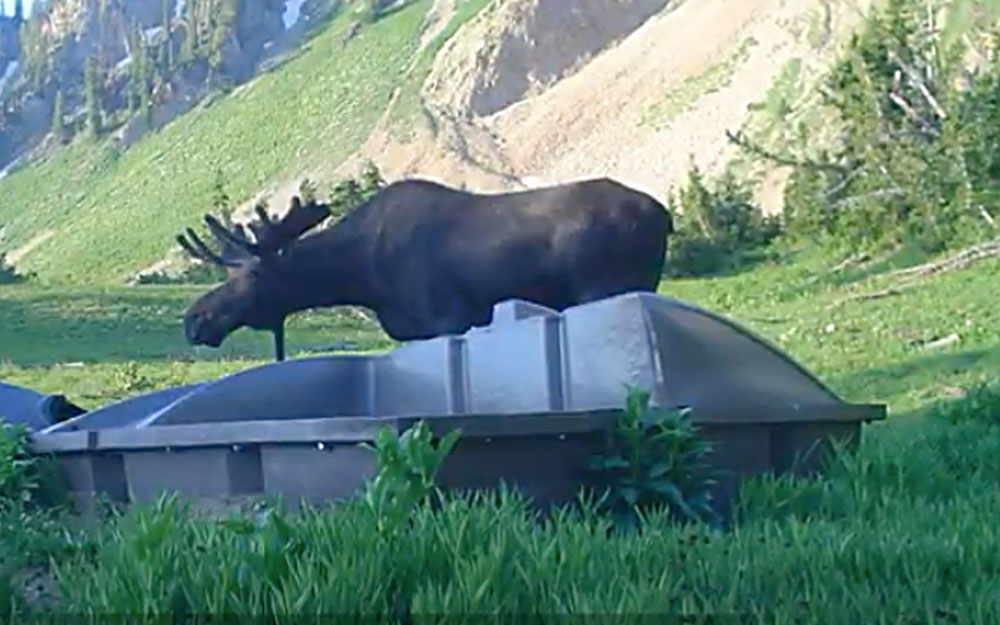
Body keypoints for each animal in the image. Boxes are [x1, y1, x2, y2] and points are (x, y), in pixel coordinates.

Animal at [176, 177, 674, 362]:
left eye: (252, 276)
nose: (193, 319)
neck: (360, 275)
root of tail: (663, 213)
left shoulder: (448, 318)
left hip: (607, 289)